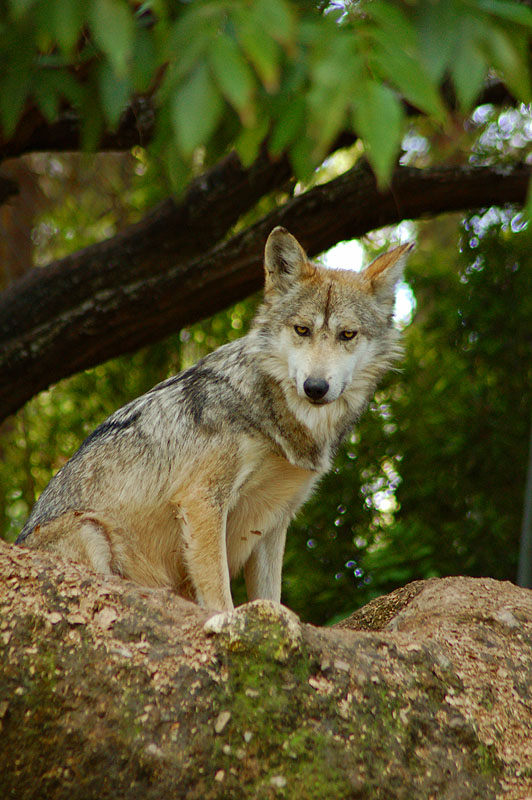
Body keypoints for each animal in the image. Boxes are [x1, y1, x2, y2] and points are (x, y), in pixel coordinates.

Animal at [17, 227, 411, 611]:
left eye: (347, 335)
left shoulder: (273, 521)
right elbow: (220, 595)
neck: (272, 409)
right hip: (90, 529)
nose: (315, 387)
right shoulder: (202, 500)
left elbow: (271, 600)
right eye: (302, 330)